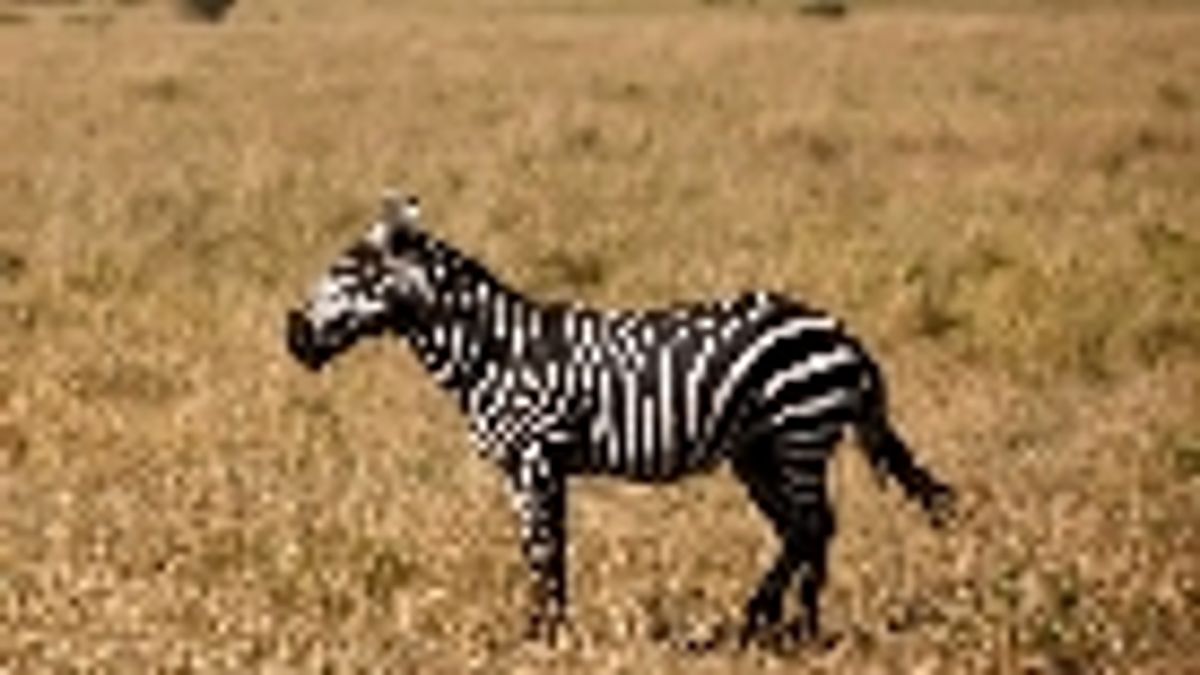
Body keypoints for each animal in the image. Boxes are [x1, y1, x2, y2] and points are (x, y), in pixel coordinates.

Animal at [285, 190, 954, 645]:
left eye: (350, 273)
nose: (294, 338)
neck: (493, 352)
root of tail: (841, 330)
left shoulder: (535, 459)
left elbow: (543, 547)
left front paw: (544, 634)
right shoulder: (524, 469)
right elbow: (541, 545)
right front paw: (545, 628)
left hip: (800, 433)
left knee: (813, 525)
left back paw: (784, 625)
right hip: (758, 450)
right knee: (801, 529)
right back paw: (783, 627)